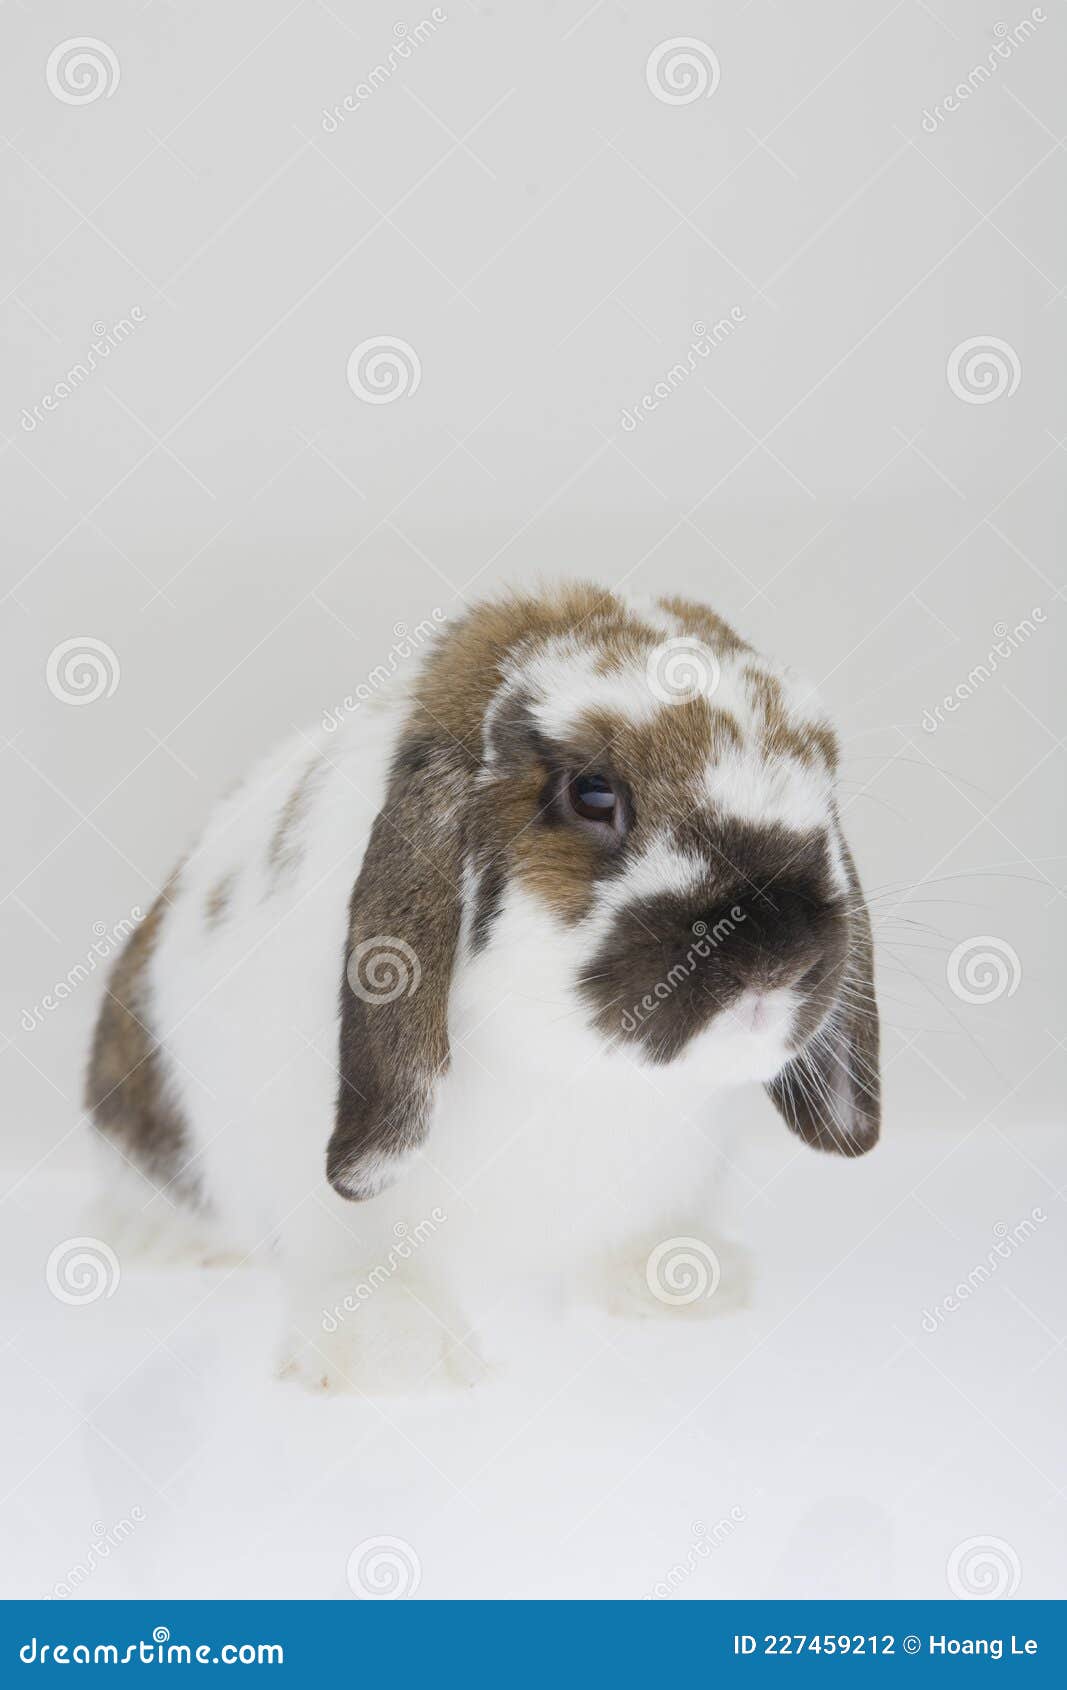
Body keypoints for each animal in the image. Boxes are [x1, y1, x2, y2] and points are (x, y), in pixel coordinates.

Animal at [85, 583, 880, 1393]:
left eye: (823, 784)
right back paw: (156, 1240)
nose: (780, 951)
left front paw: (677, 1284)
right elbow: (359, 1258)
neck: (575, 1076)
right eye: (593, 794)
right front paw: (393, 1352)